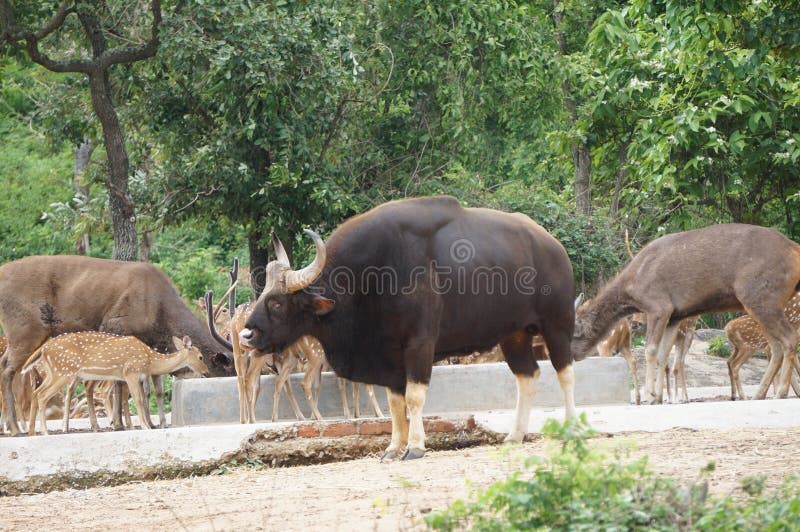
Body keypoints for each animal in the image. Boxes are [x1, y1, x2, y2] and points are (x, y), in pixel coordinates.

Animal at [238, 196, 577, 460]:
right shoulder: (388, 355)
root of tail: (555, 248)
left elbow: (414, 397)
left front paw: (415, 446)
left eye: (277, 303)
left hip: (558, 326)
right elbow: (394, 402)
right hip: (514, 335)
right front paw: (393, 447)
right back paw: (515, 435)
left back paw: (571, 427)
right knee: (528, 376)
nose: (246, 335)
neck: (371, 276)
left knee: (565, 373)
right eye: (263, 296)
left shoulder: (419, 345)